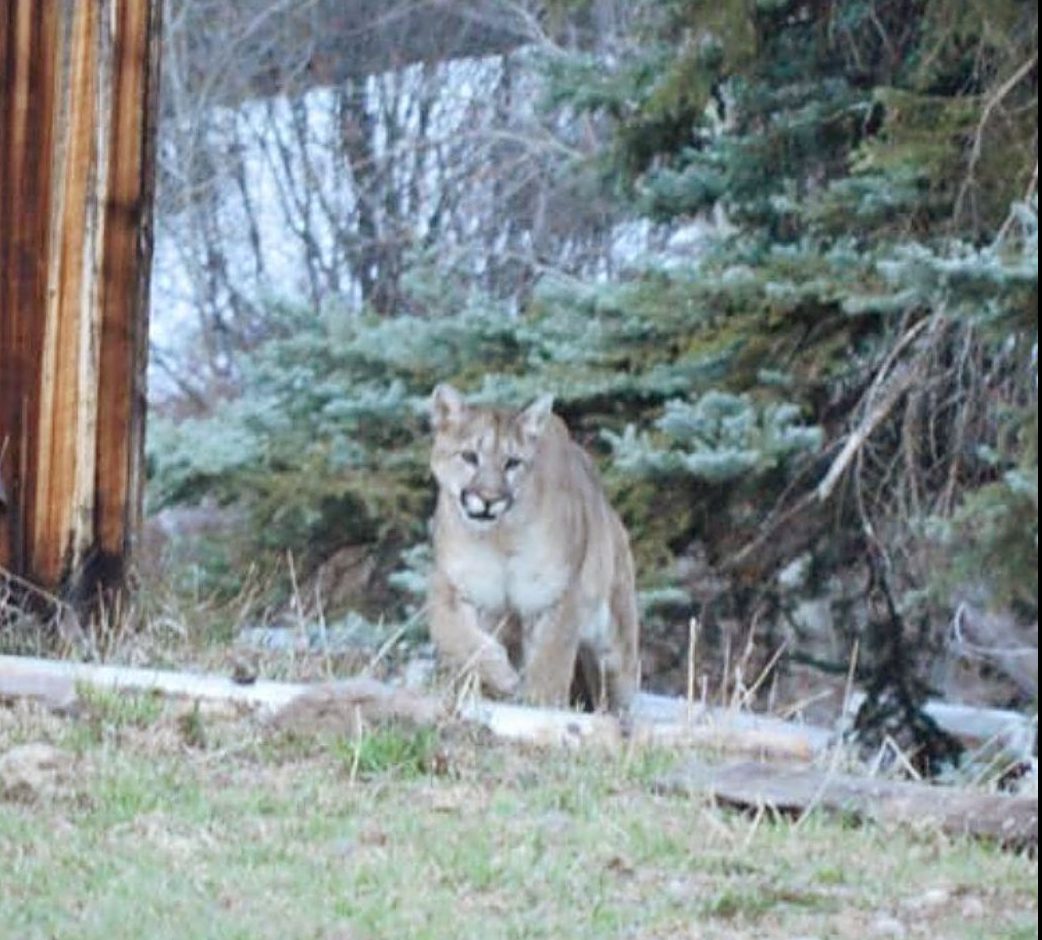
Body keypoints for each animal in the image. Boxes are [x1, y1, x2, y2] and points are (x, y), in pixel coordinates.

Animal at [427, 384, 640, 713]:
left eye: (512, 462)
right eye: (469, 456)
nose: (488, 499)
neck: (499, 537)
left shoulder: (557, 594)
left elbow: (551, 660)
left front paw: (542, 704)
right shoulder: (450, 585)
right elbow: (454, 634)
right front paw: (502, 676)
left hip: (616, 641)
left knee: (620, 683)